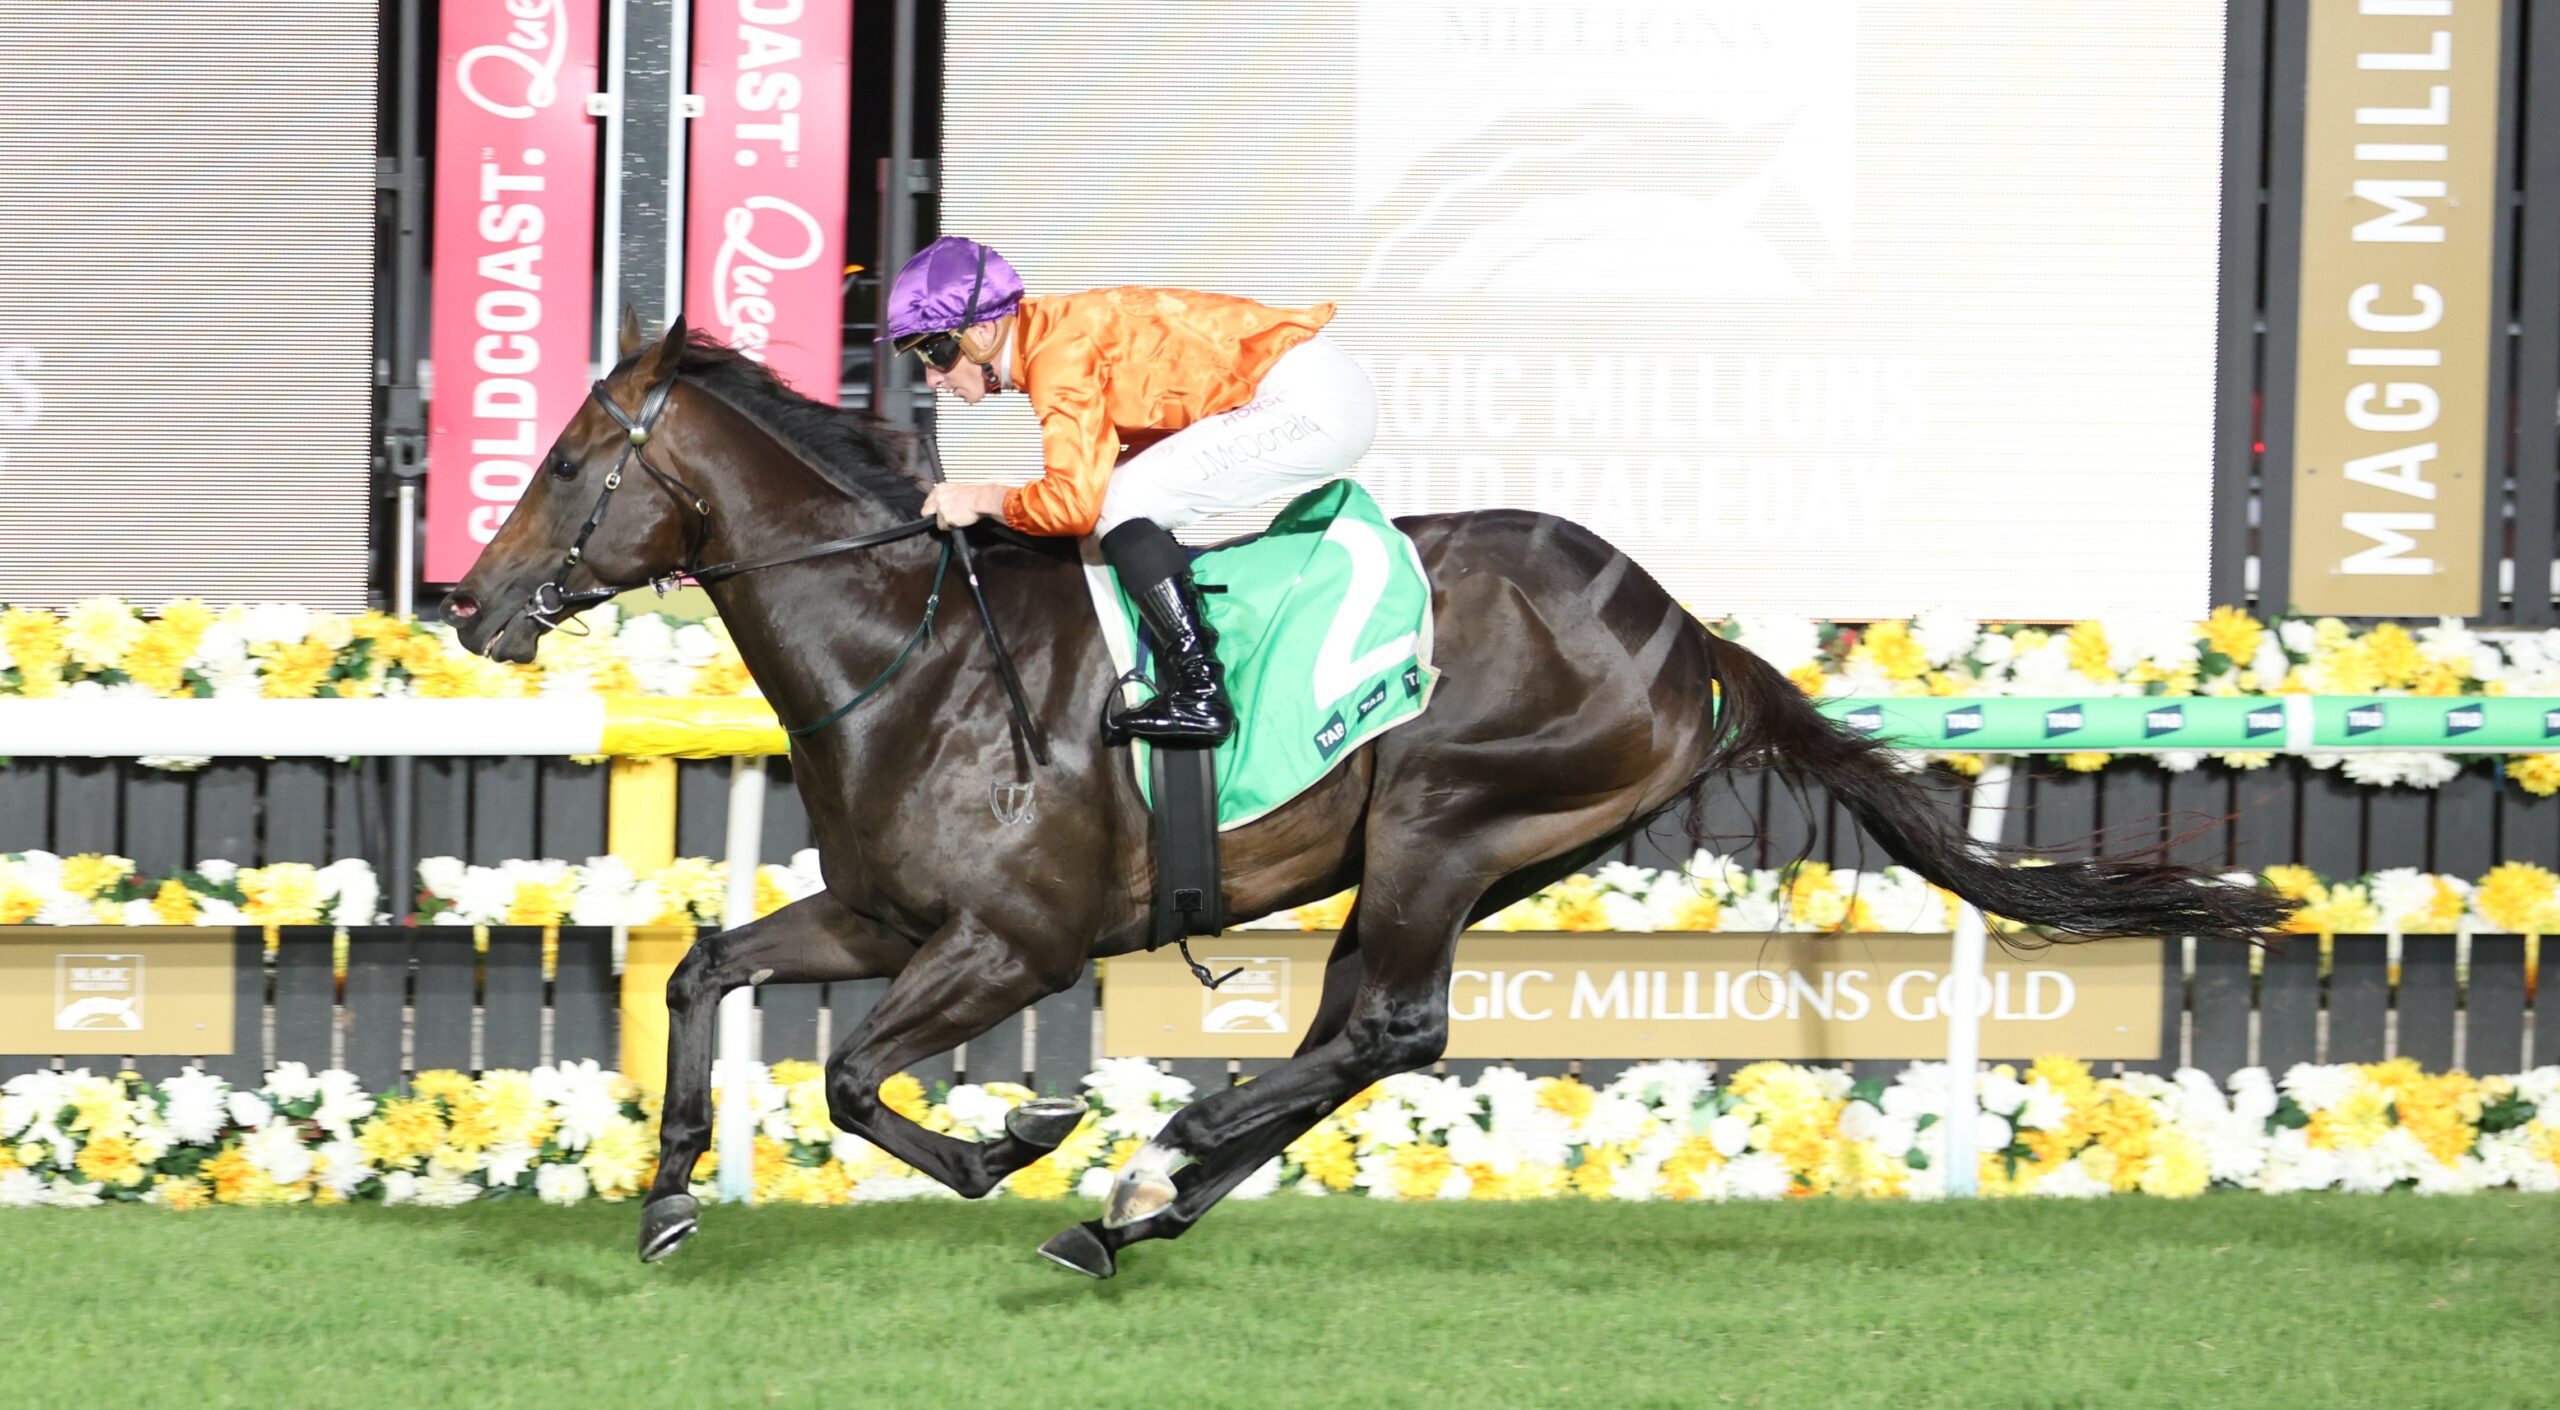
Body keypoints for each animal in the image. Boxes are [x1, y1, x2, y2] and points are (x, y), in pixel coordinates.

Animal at [445, 317, 2290, 1277]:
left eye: (567, 461)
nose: (468, 601)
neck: (912, 650)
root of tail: (1689, 631)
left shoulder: (1016, 941)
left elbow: (846, 1077)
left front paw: (1019, 1139)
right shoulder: (886, 912)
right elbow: (707, 973)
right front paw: (672, 1195)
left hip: (1442, 814)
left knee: (1388, 1028)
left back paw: (1147, 1174)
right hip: (1483, 853)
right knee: (1367, 1033)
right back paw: (1150, 1198)